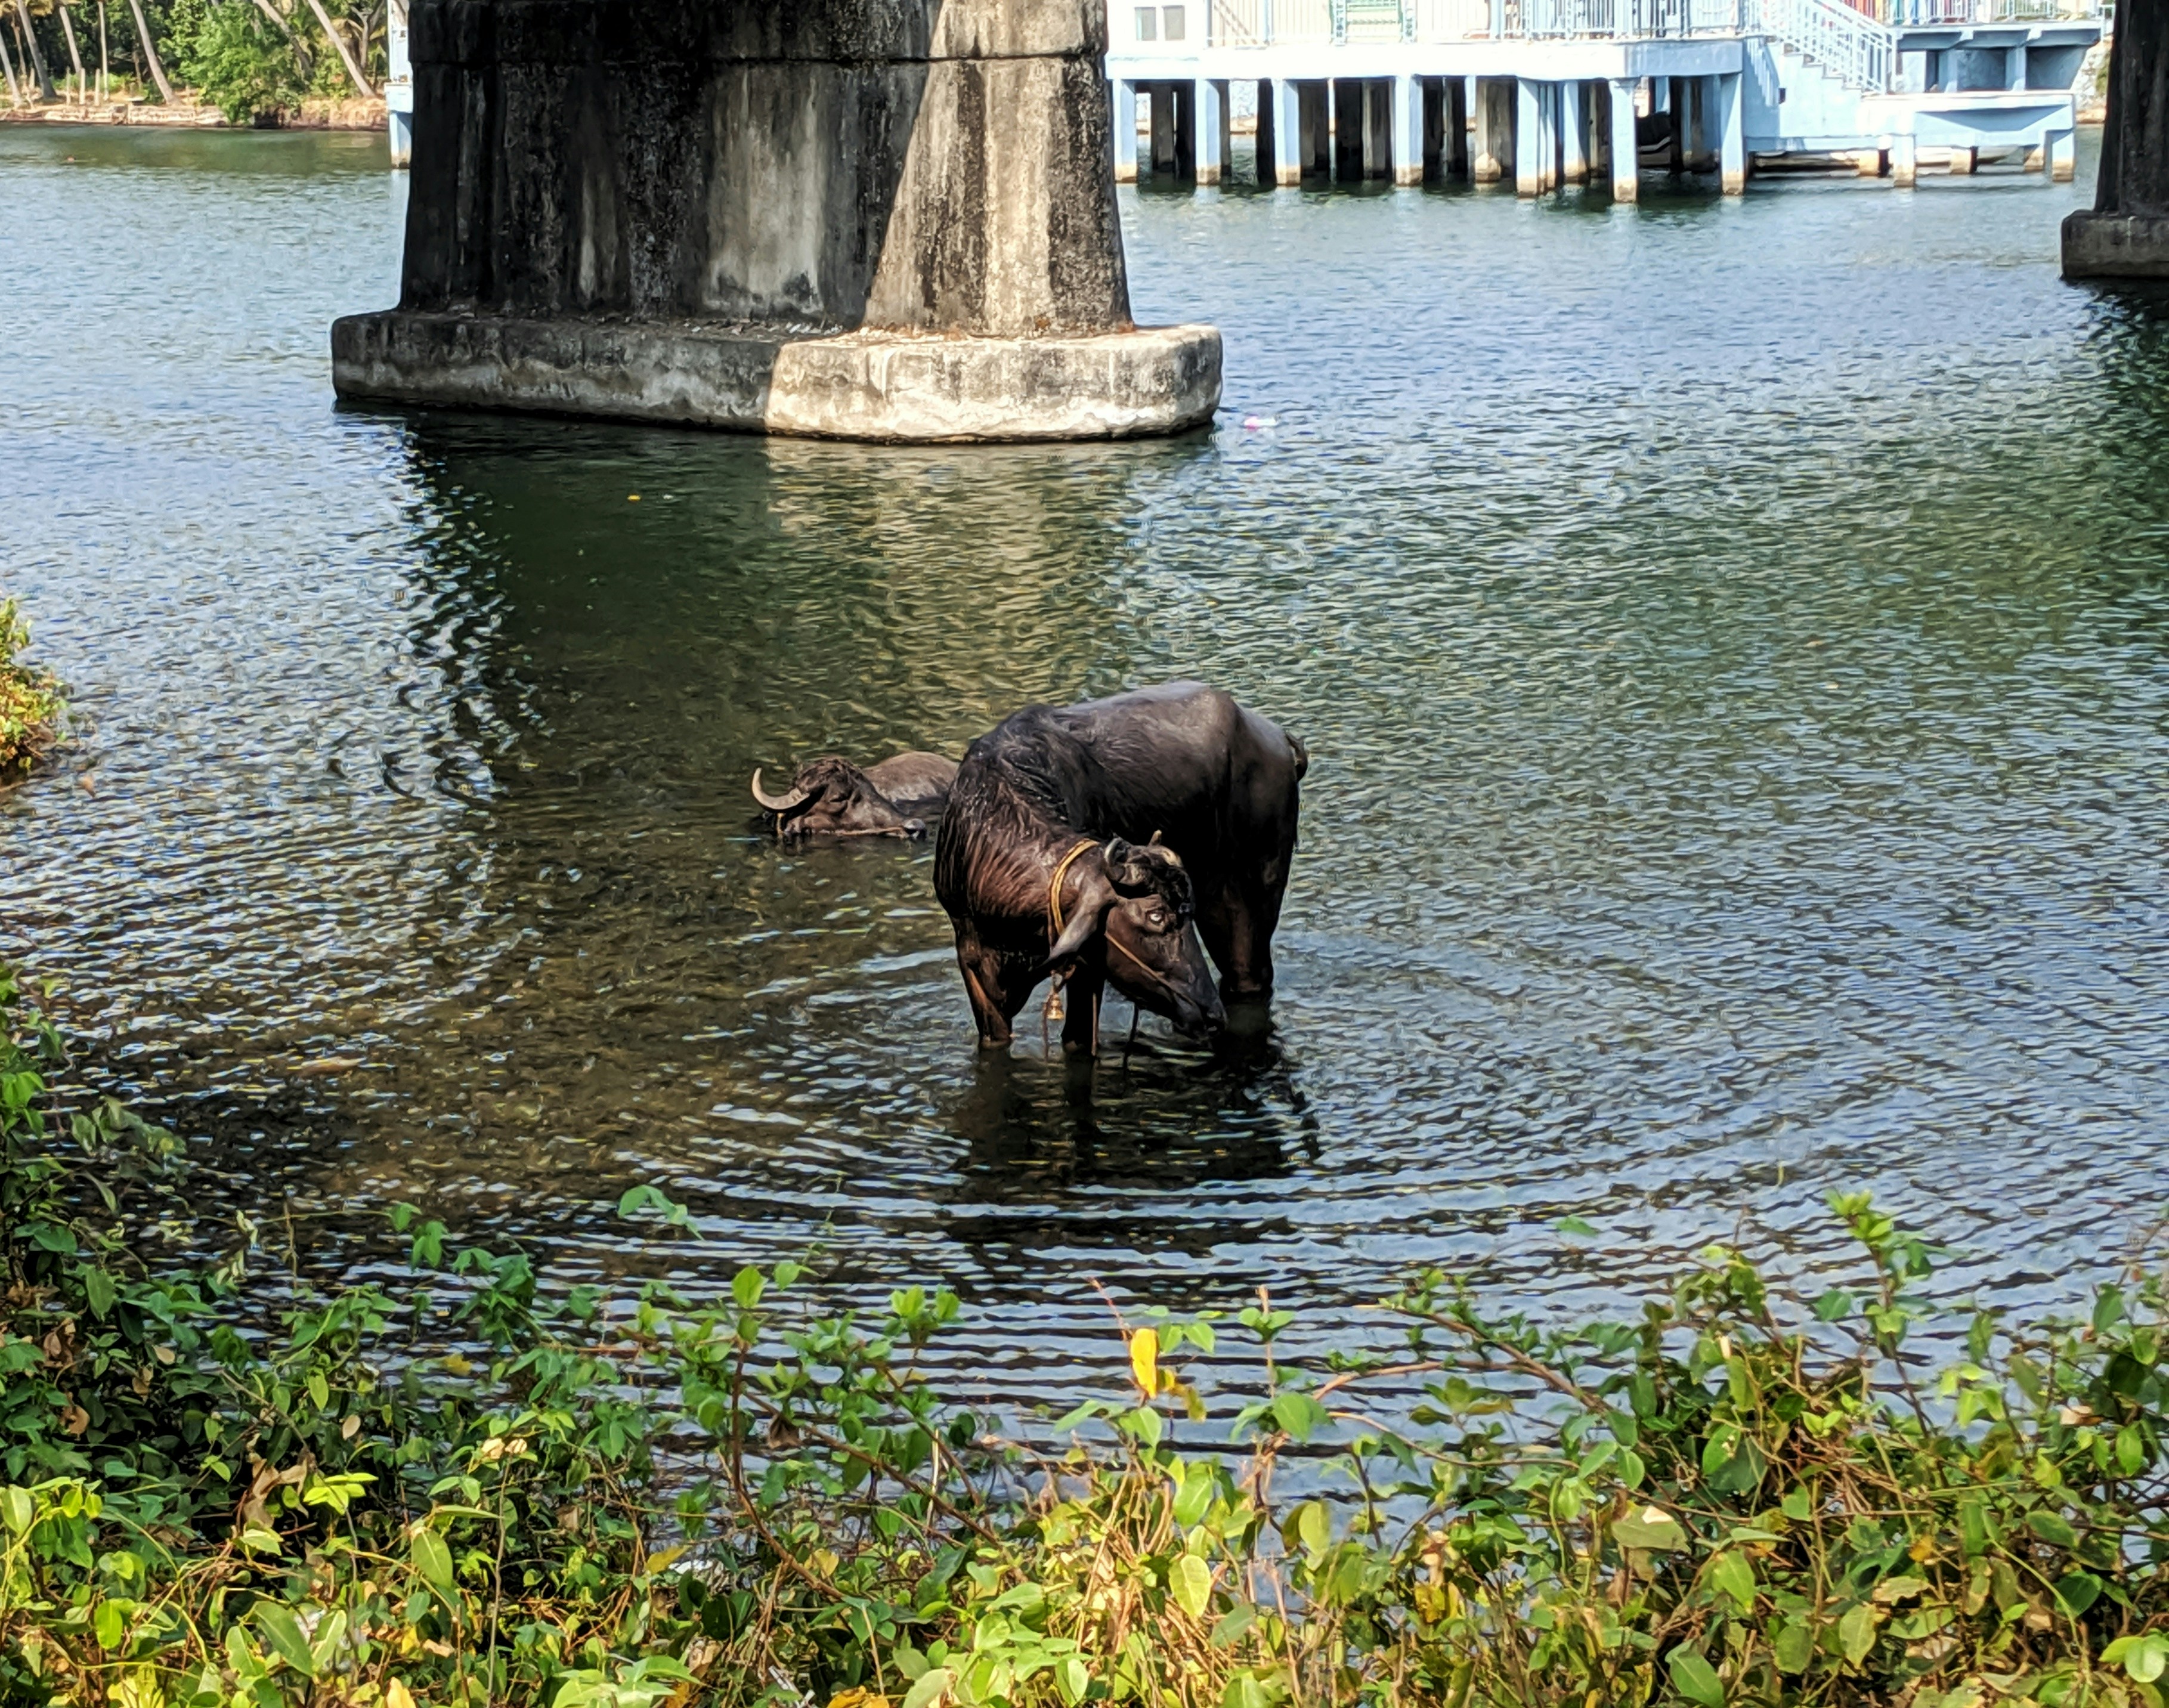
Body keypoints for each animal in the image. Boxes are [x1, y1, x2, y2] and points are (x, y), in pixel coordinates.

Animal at [933, 682, 1306, 1054]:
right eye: (1156, 916)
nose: (1210, 1014)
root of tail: (1277, 739)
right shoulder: (973, 961)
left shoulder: (1087, 970)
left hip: (1252, 900)